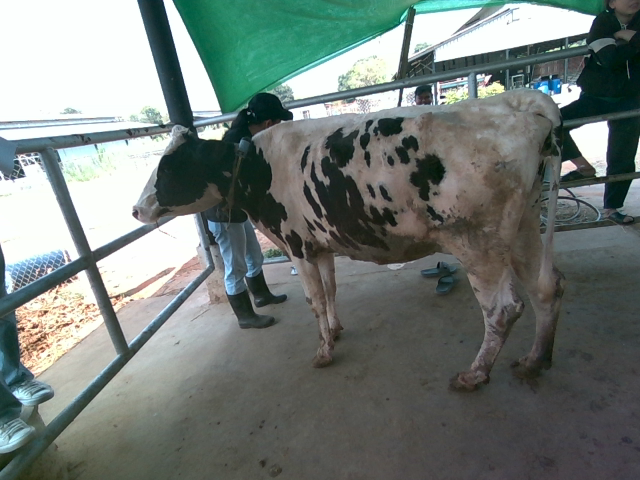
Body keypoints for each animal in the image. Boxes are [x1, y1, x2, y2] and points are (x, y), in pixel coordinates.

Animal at [133, 89, 565, 391]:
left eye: (167, 167)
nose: (136, 210)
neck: (257, 166)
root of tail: (515, 102)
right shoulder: (320, 244)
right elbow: (330, 290)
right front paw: (336, 330)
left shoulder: (297, 245)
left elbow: (314, 299)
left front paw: (324, 350)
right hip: (524, 225)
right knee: (546, 289)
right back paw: (535, 360)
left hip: (476, 242)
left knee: (503, 310)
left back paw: (474, 375)